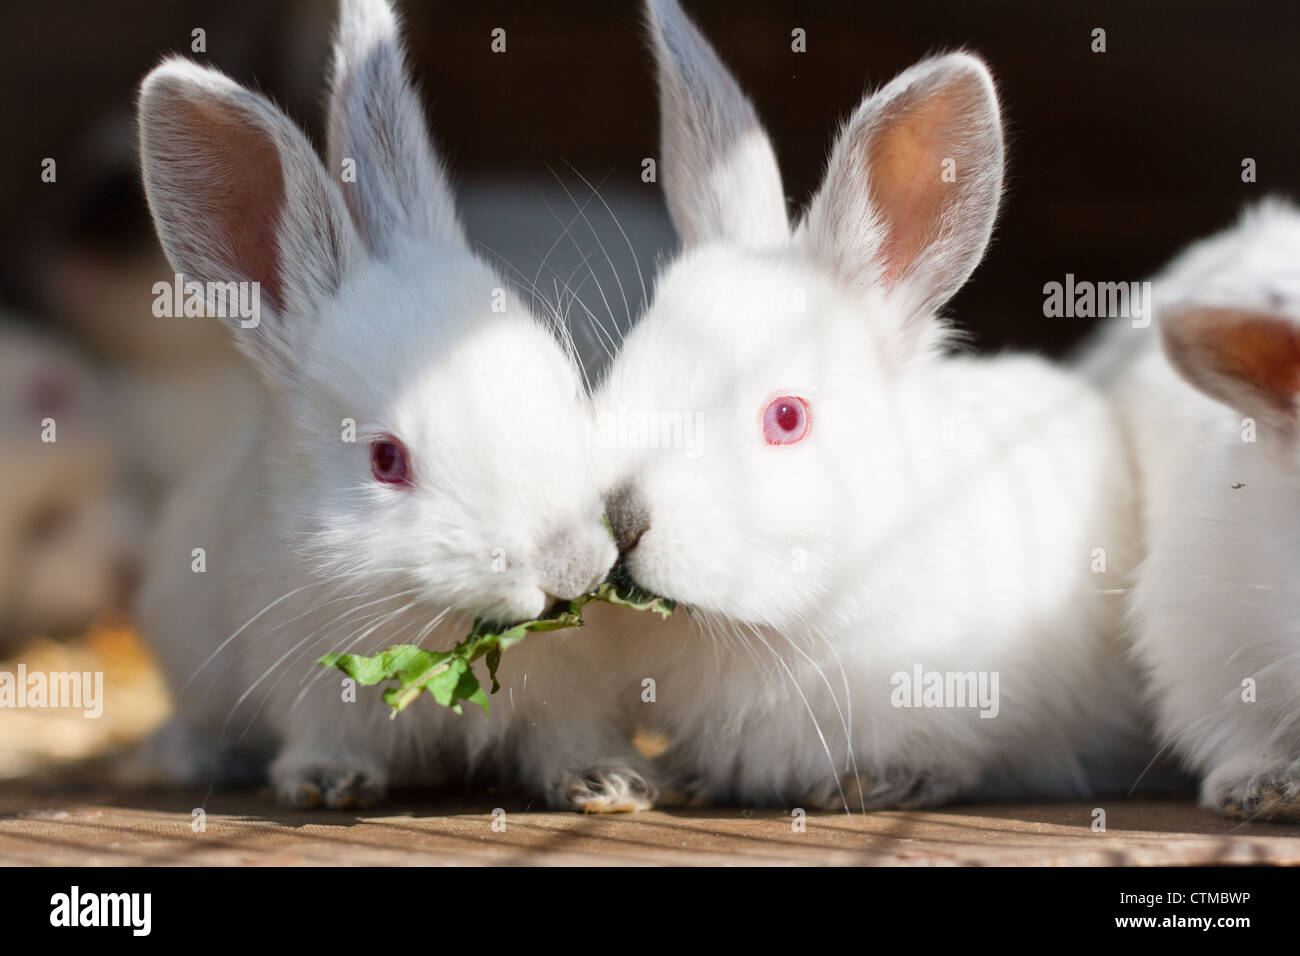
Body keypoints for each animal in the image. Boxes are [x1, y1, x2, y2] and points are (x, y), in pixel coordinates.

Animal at [128, 0, 643, 812]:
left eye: (567, 388)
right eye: (386, 460)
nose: (572, 563)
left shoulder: (577, 696)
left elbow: (571, 739)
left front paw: (607, 784)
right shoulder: (302, 676)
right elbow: (323, 737)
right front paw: (324, 783)